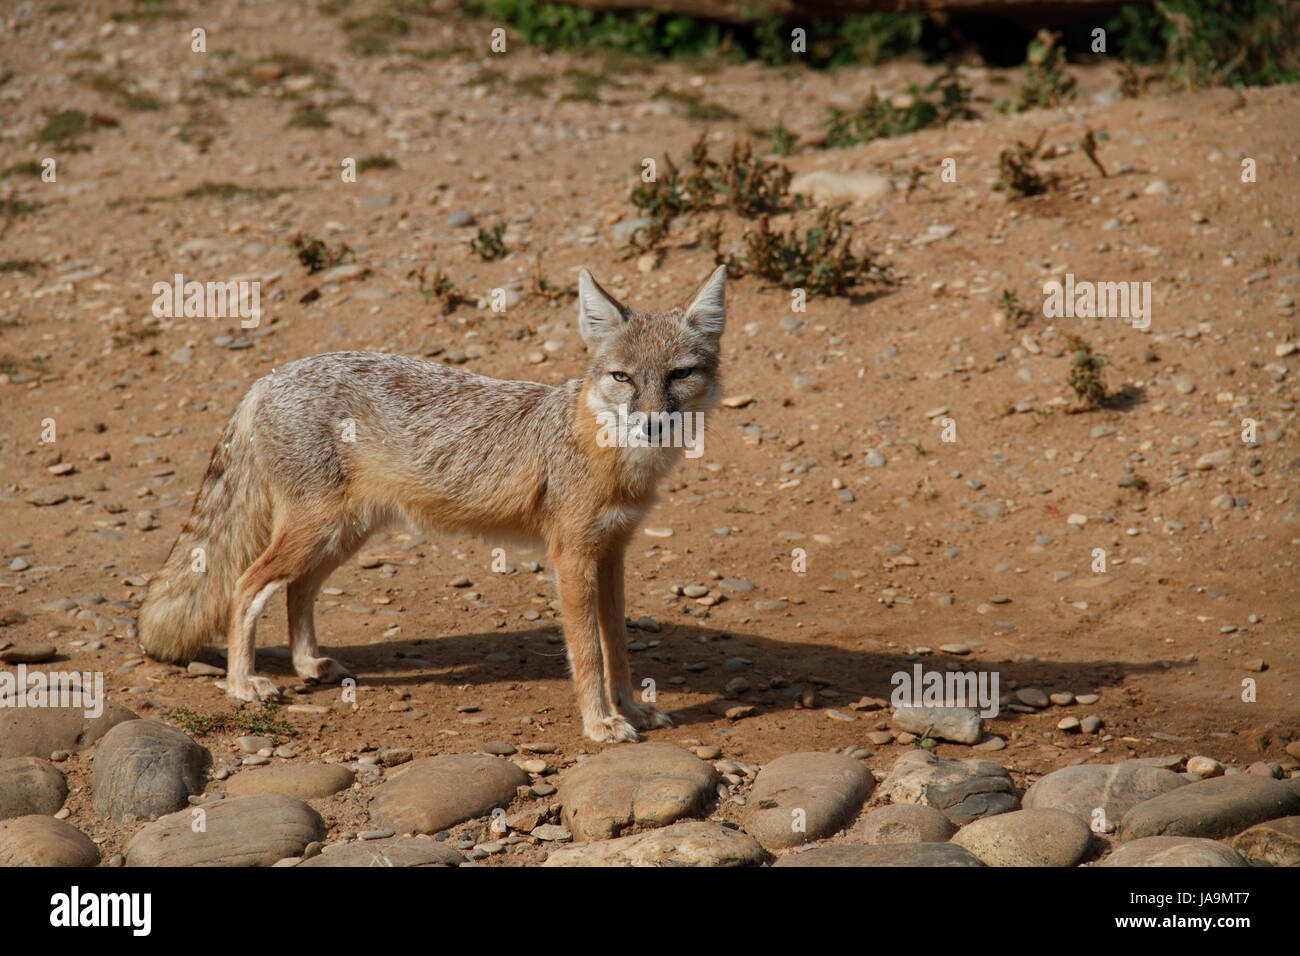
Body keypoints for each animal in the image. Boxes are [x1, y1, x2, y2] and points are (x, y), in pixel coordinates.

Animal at [137, 265, 727, 742]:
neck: (615, 461)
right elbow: (587, 651)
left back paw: (307, 664)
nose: (652, 424)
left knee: (297, 590)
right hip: (315, 532)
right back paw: (242, 683)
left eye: (678, 374)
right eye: (622, 378)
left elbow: (618, 647)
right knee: (245, 585)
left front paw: (632, 708)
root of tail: (268, 377)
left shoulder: (612, 554)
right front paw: (601, 722)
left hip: (339, 535)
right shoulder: (572, 557)